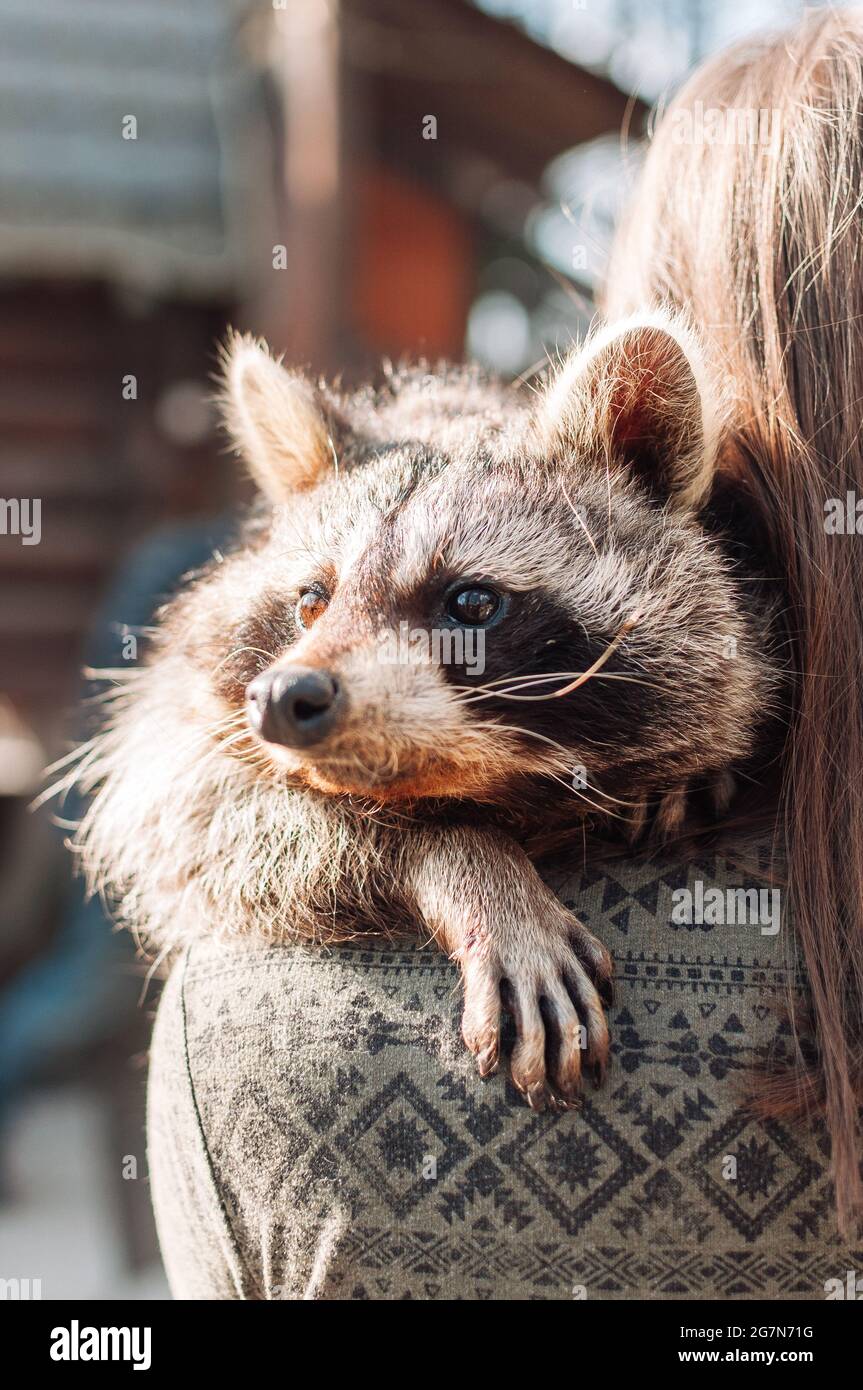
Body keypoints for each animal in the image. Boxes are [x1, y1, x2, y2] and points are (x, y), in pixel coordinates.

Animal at [70, 310, 780, 1110]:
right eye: (311, 600)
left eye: (470, 602)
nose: (282, 699)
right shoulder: (183, 733)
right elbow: (190, 812)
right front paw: (469, 863)